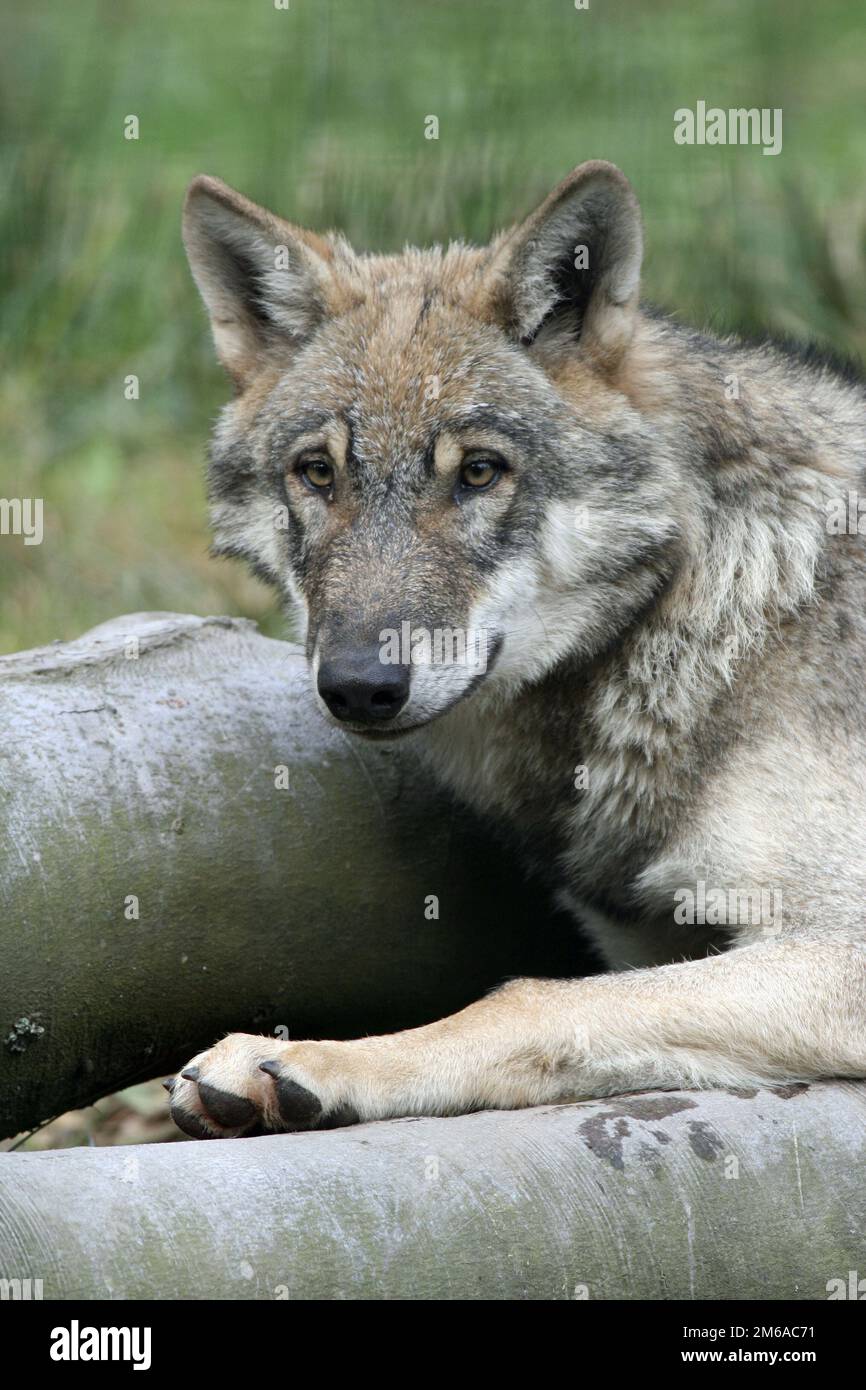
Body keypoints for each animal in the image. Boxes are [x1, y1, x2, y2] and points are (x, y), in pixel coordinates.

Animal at [169, 160, 866, 1139]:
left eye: (479, 472)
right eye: (318, 473)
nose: (359, 686)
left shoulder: (838, 942)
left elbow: (526, 999)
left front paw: (316, 1062)